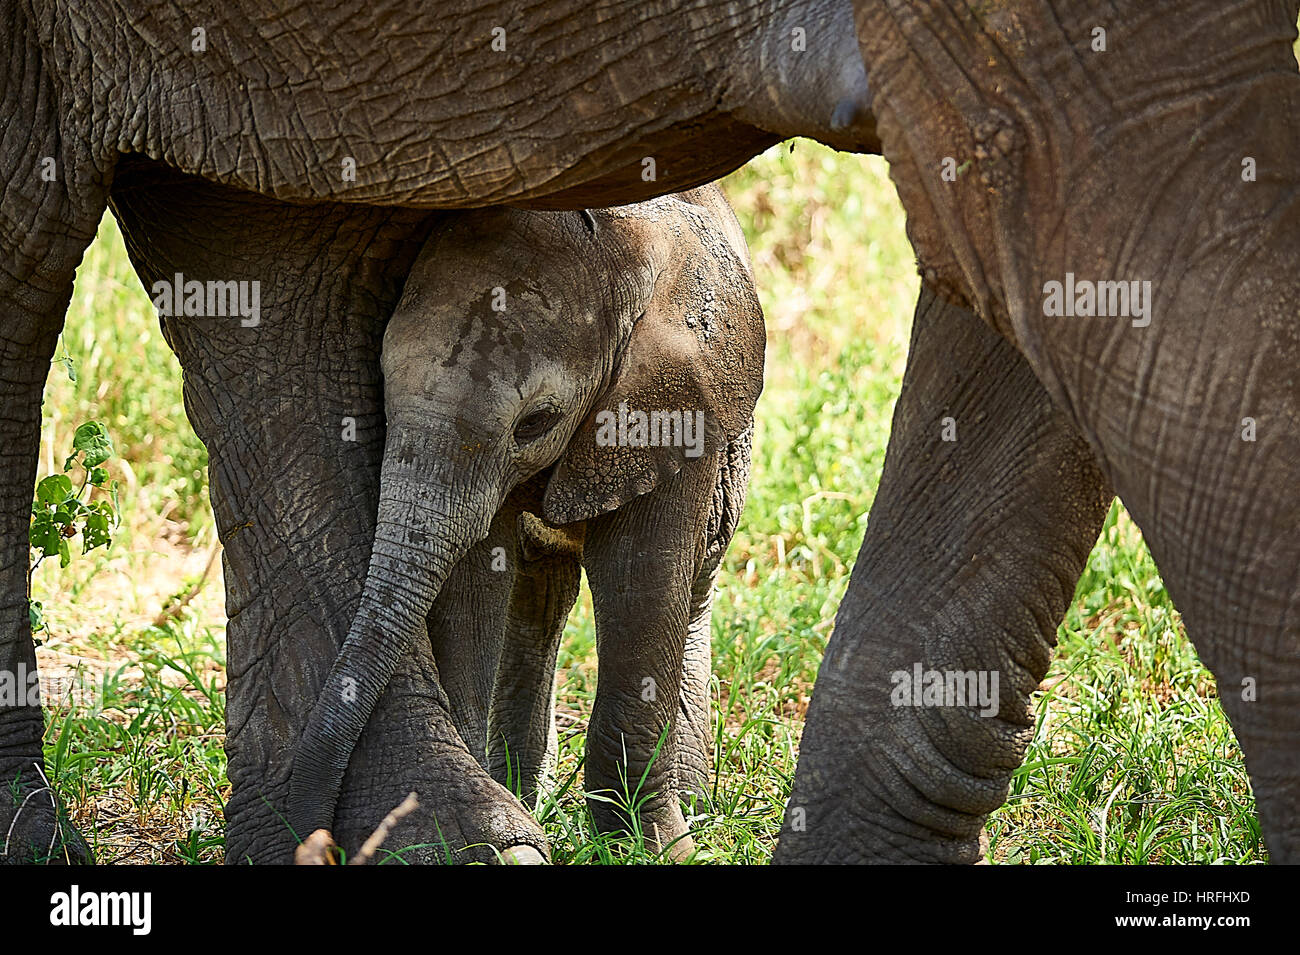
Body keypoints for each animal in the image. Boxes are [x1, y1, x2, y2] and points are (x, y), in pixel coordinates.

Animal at [289, 186, 765, 863]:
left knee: (694, 586)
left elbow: (642, 577)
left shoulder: (678, 410)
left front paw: (655, 849)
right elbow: (473, 584)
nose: (312, 837)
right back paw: (521, 787)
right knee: (541, 595)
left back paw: (693, 804)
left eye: (536, 423)